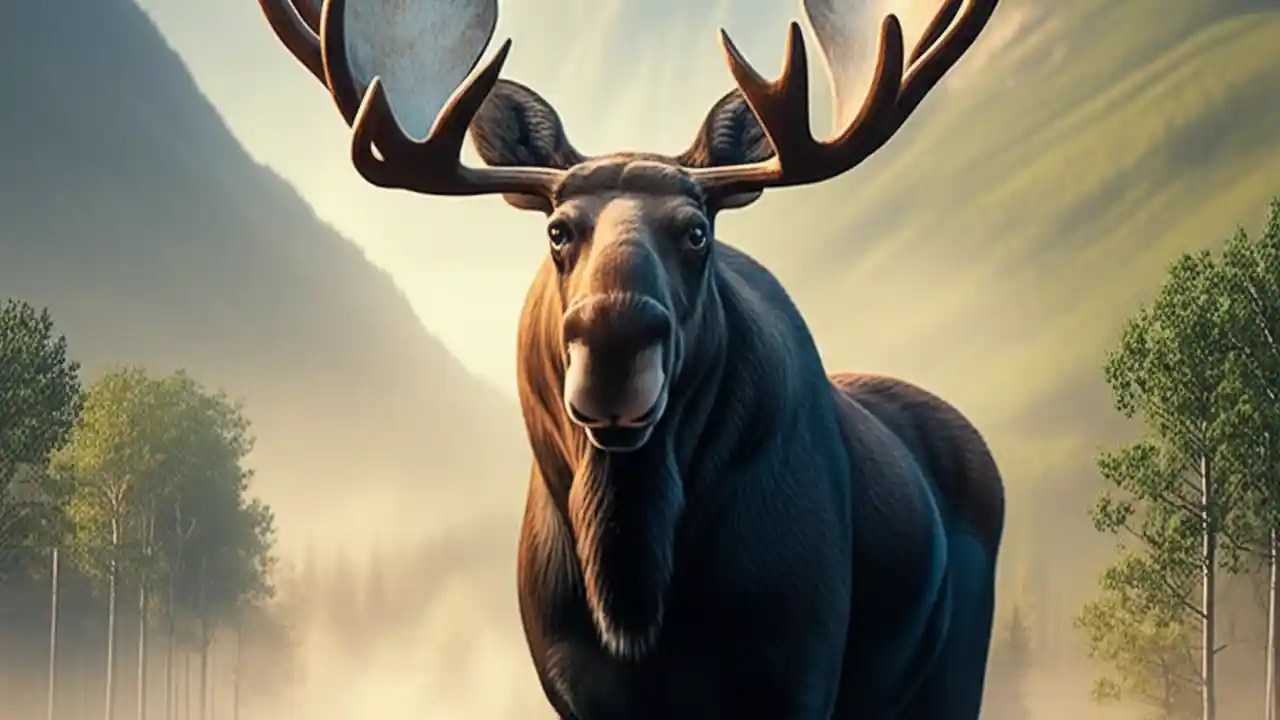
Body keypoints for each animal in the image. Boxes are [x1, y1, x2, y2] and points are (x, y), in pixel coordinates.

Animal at [258, 0, 1005, 717]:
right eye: (558, 230)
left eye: (698, 231)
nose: (614, 348)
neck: (633, 582)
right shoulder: (576, 685)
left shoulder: (795, 666)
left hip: (954, 664)